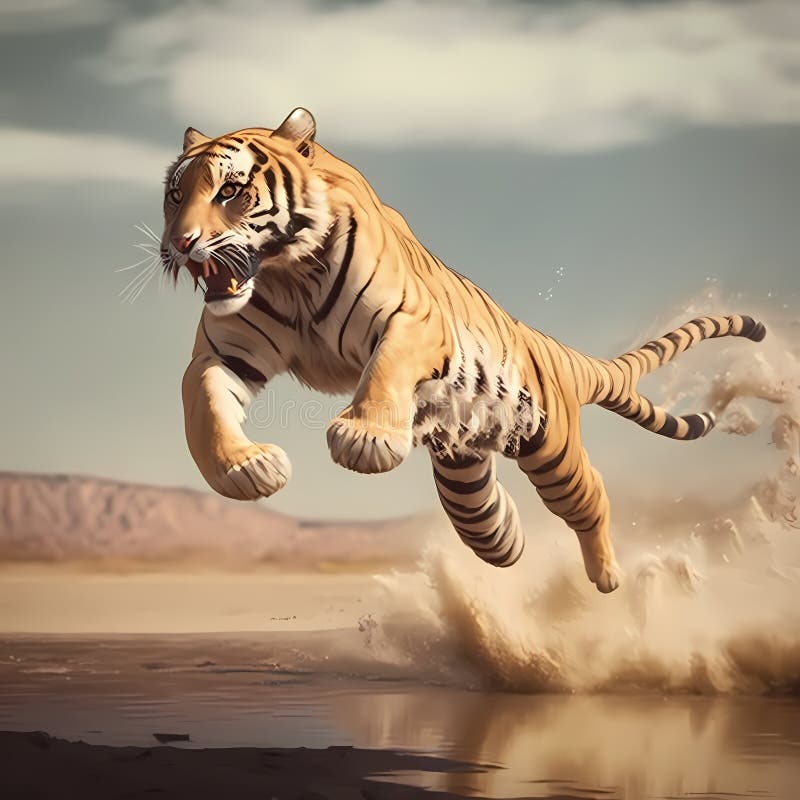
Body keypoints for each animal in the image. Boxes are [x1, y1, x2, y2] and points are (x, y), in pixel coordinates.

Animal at [161, 107, 767, 594]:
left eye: (231, 191)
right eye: (175, 195)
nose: (179, 244)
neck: (287, 273)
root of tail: (543, 341)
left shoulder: (414, 323)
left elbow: (383, 369)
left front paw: (365, 437)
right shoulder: (221, 353)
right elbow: (203, 404)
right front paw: (244, 467)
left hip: (553, 450)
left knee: (593, 496)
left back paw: (607, 576)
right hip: (464, 469)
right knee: (490, 526)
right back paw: (511, 543)